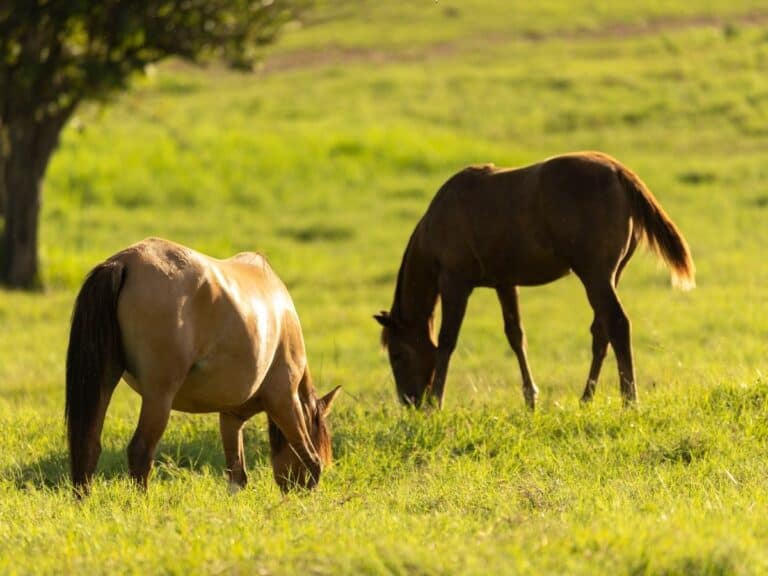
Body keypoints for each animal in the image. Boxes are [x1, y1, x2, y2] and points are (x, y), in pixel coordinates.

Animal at [65, 237, 340, 496]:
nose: (297, 491)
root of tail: (125, 261)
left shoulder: (231, 417)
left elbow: (237, 477)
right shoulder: (284, 399)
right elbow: (310, 458)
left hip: (105, 379)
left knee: (88, 445)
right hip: (159, 396)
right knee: (140, 451)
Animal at [375, 151, 695, 410]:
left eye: (397, 355)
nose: (410, 403)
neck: (439, 221)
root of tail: (618, 171)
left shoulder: (455, 283)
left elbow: (446, 341)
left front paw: (436, 402)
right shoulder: (505, 283)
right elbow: (516, 336)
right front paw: (530, 399)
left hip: (594, 275)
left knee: (617, 324)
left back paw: (629, 401)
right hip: (610, 275)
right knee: (602, 329)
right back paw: (586, 398)